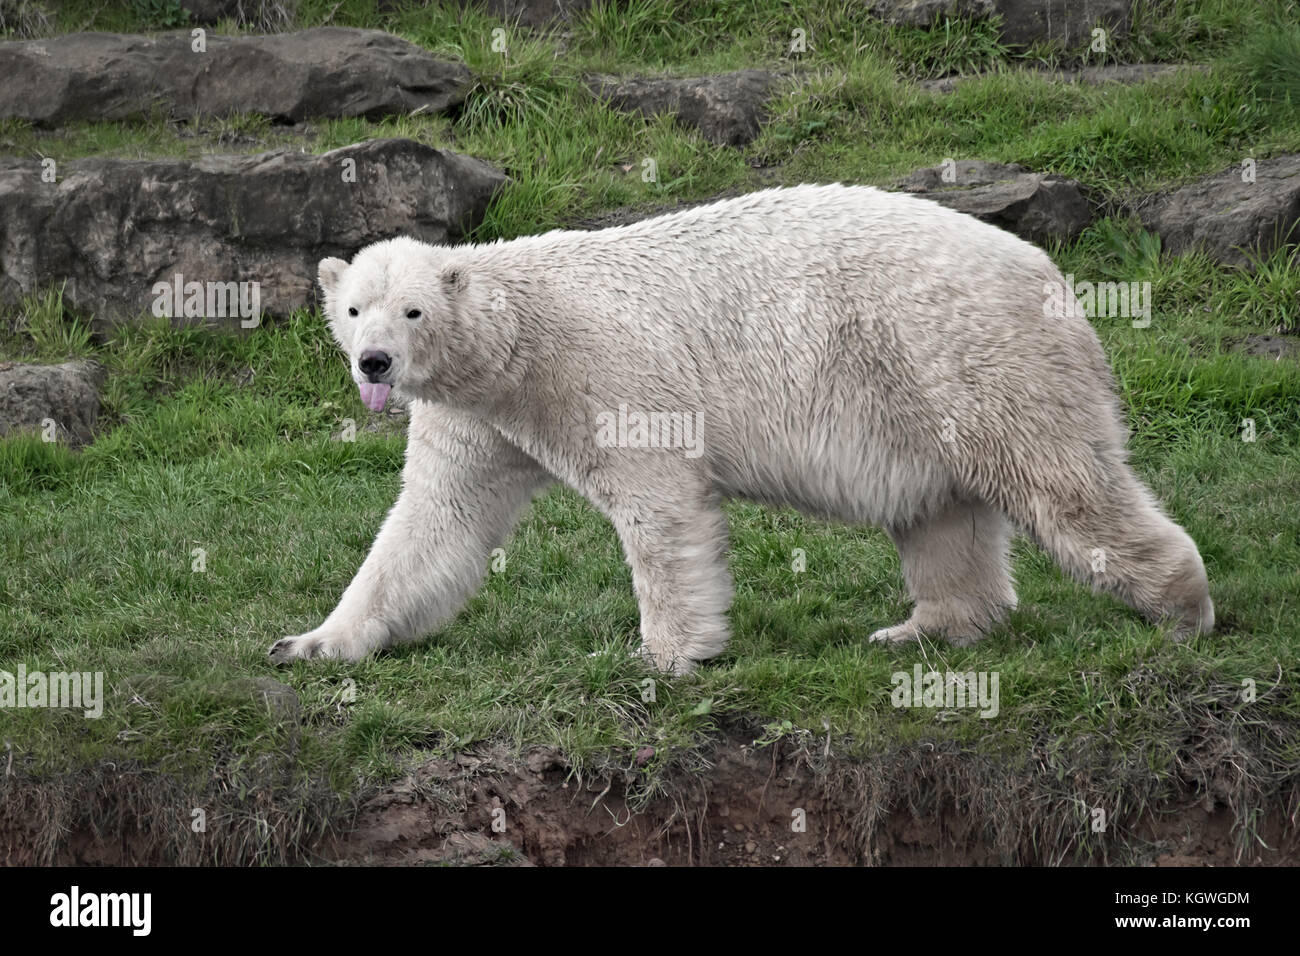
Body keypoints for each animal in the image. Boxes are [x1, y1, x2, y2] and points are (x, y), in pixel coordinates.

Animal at [268, 183, 1214, 674]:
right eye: (353, 310)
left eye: (413, 310)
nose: (375, 364)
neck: (522, 341)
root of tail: (1050, 273)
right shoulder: (481, 416)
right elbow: (434, 523)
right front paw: (308, 642)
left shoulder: (602, 371)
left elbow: (658, 507)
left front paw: (665, 656)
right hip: (926, 390)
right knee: (941, 514)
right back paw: (924, 627)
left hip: (969, 355)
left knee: (1061, 482)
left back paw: (1180, 606)